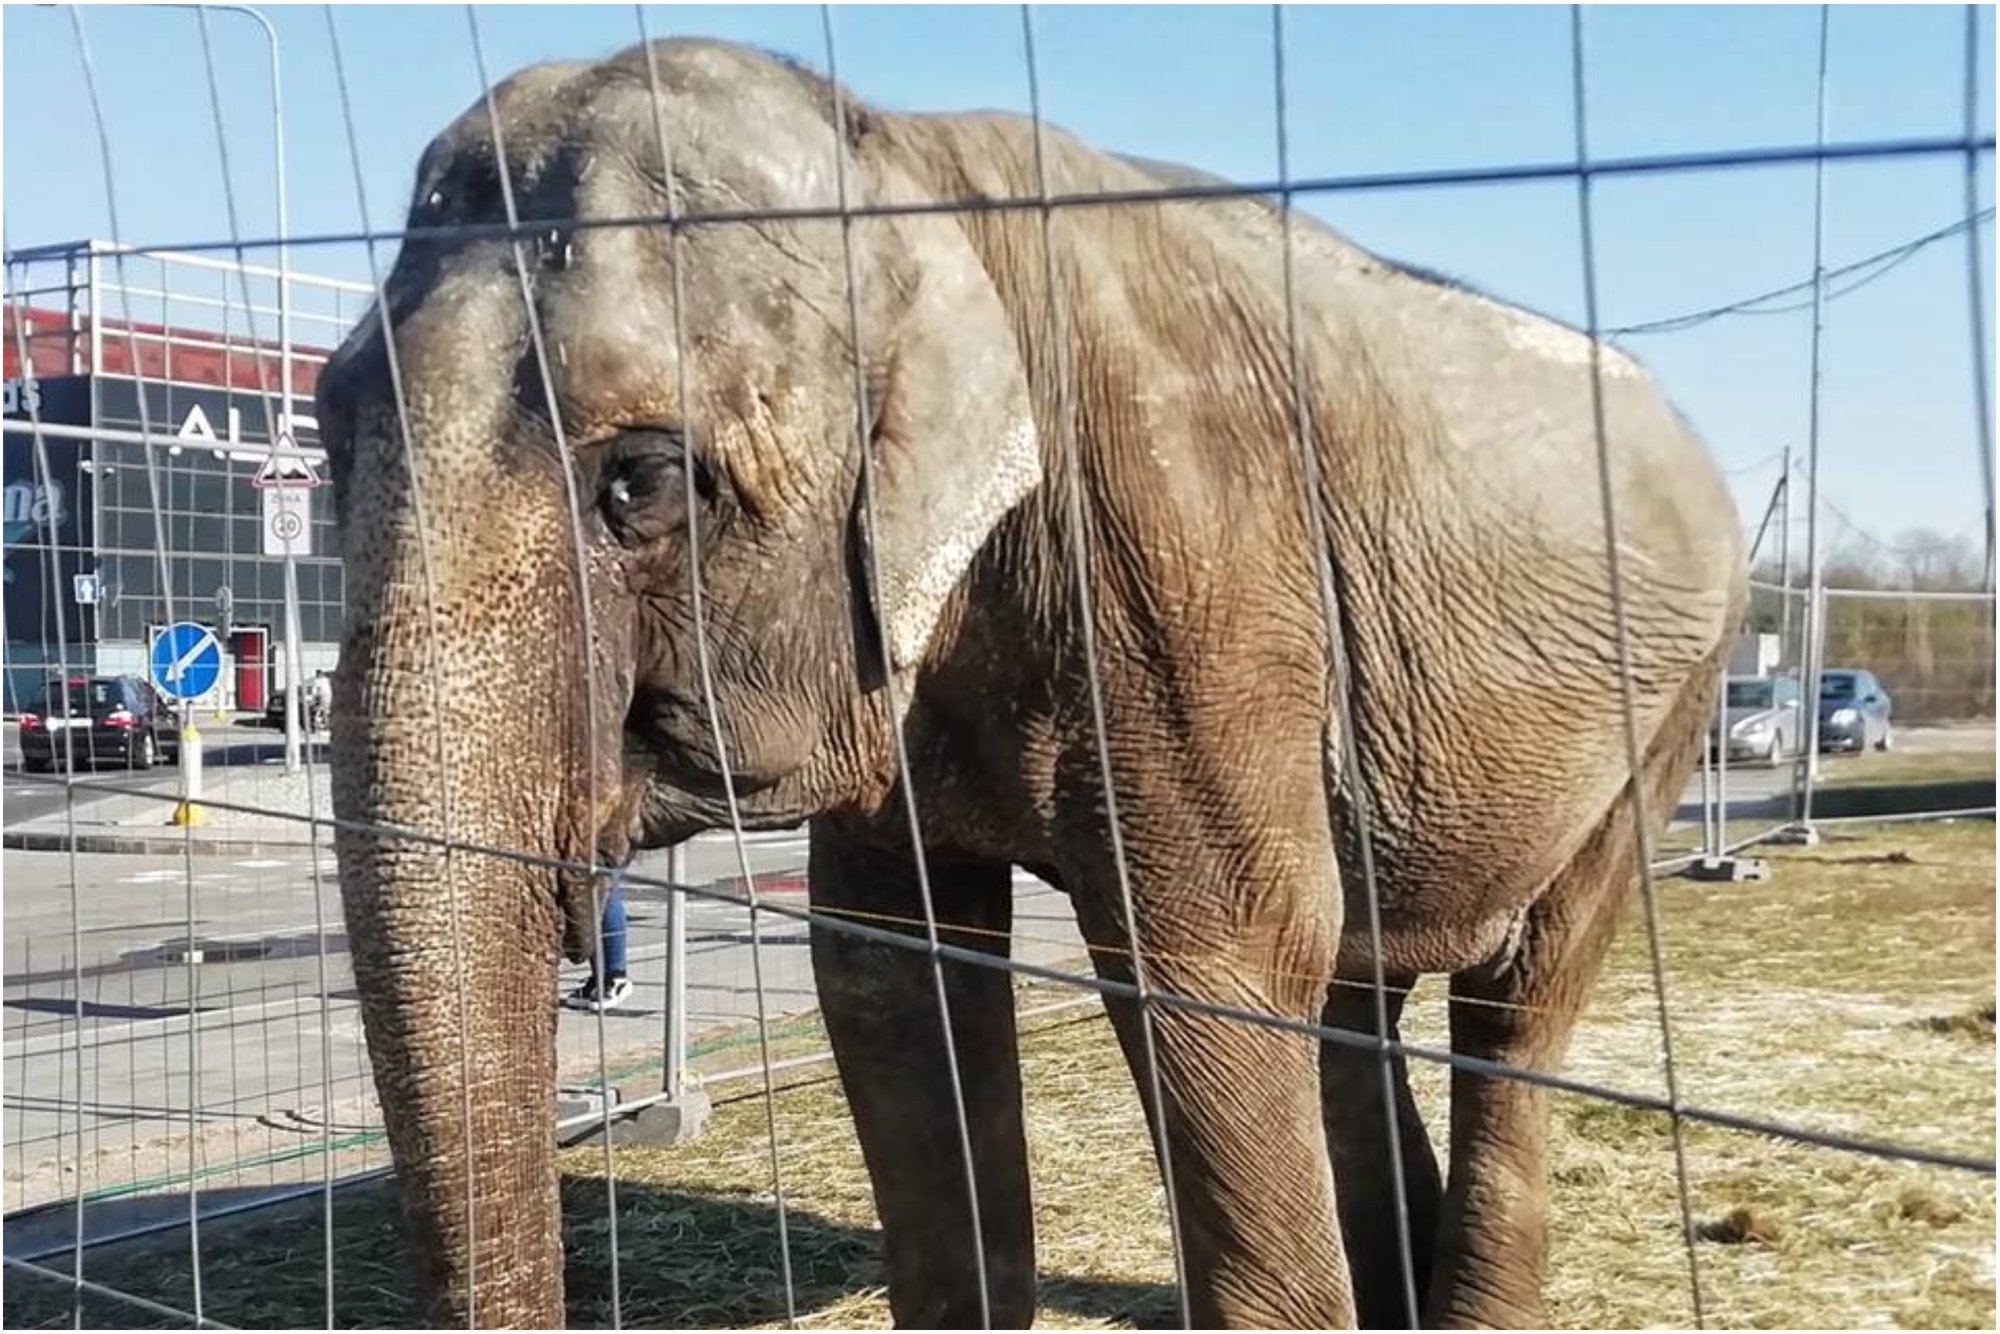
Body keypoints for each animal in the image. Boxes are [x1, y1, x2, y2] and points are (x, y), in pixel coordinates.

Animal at [317, 36, 1744, 1332]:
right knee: (1356, 988)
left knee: (1516, 1002)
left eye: (647, 479)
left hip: (1671, 706)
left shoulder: (1190, 572)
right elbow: (892, 982)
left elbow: (1219, 967)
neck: (903, 162)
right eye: (325, 435)